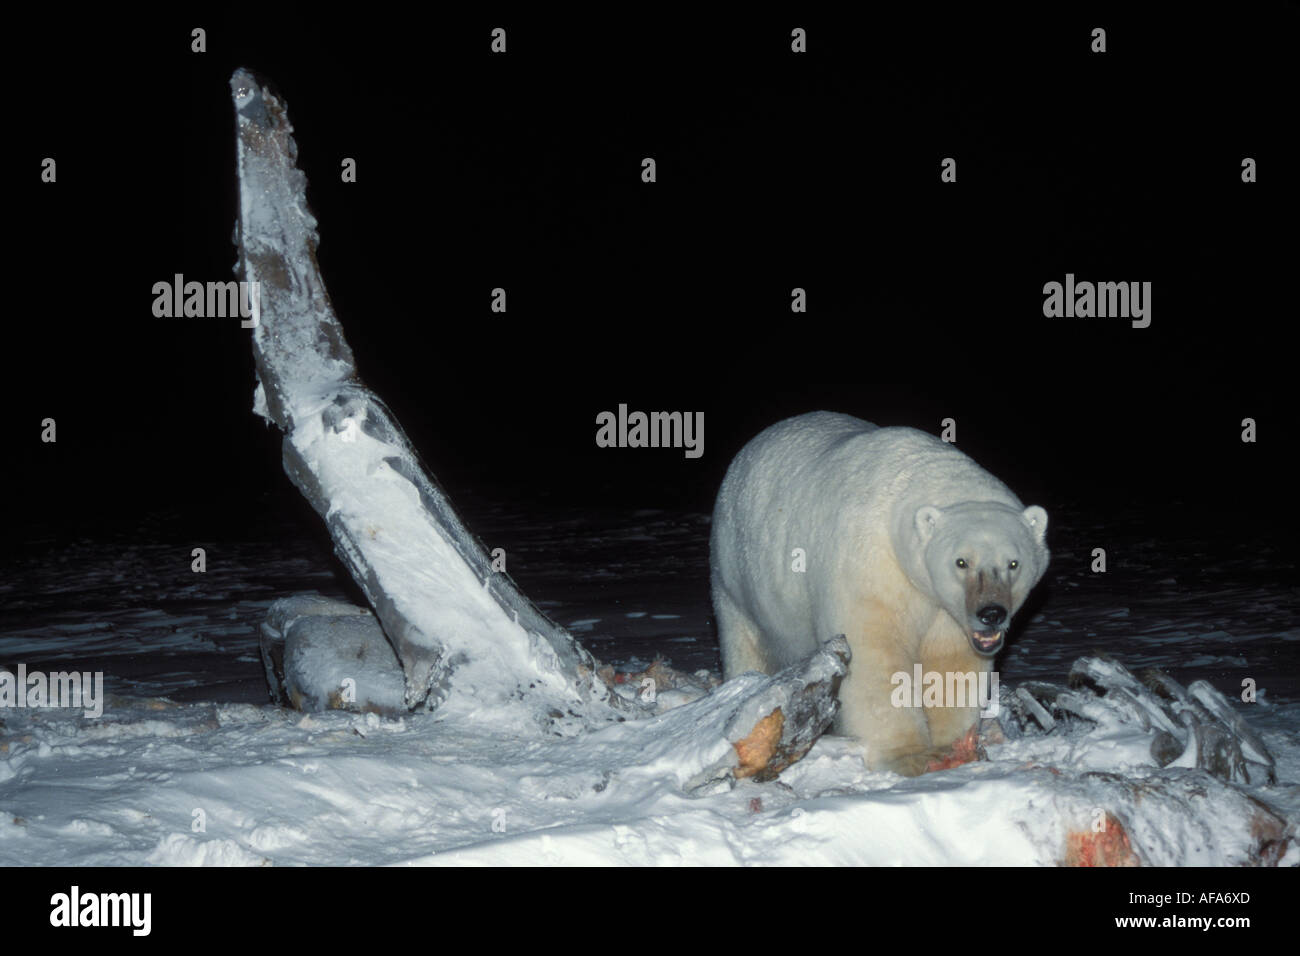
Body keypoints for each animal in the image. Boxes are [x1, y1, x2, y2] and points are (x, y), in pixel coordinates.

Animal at [710, 411, 1049, 776]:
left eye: (1013, 563)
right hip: (734, 576)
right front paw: (911, 757)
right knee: (743, 640)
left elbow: (950, 661)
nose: (991, 613)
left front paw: (955, 748)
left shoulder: (944, 608)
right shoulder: (871, 567)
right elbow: (875, 654)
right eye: (961, 562)